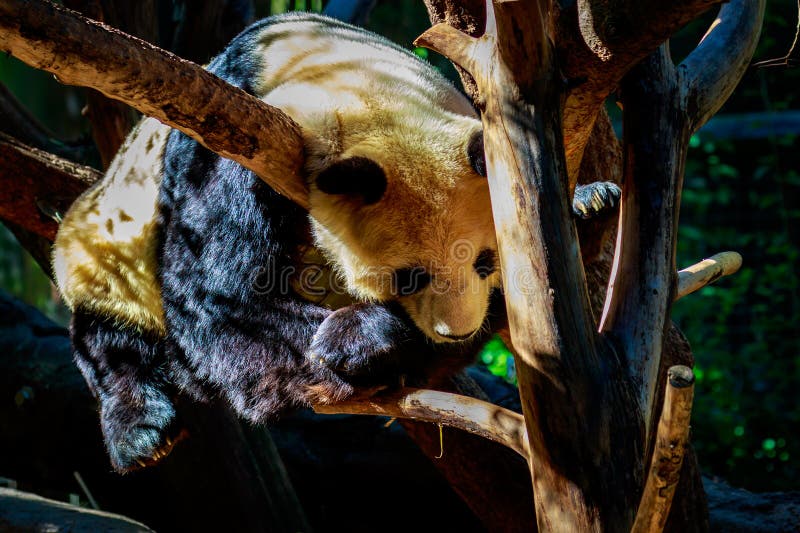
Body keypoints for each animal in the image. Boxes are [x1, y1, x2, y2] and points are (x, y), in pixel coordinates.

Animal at [53, 13, 619, 472]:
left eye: (485, 262)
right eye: (408, 277)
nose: (453, 331)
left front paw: (588, 203)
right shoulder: (235, 146)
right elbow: (219, 302)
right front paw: (358, 340)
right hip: (103, 252)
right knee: (112, 339)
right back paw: (142, 433)